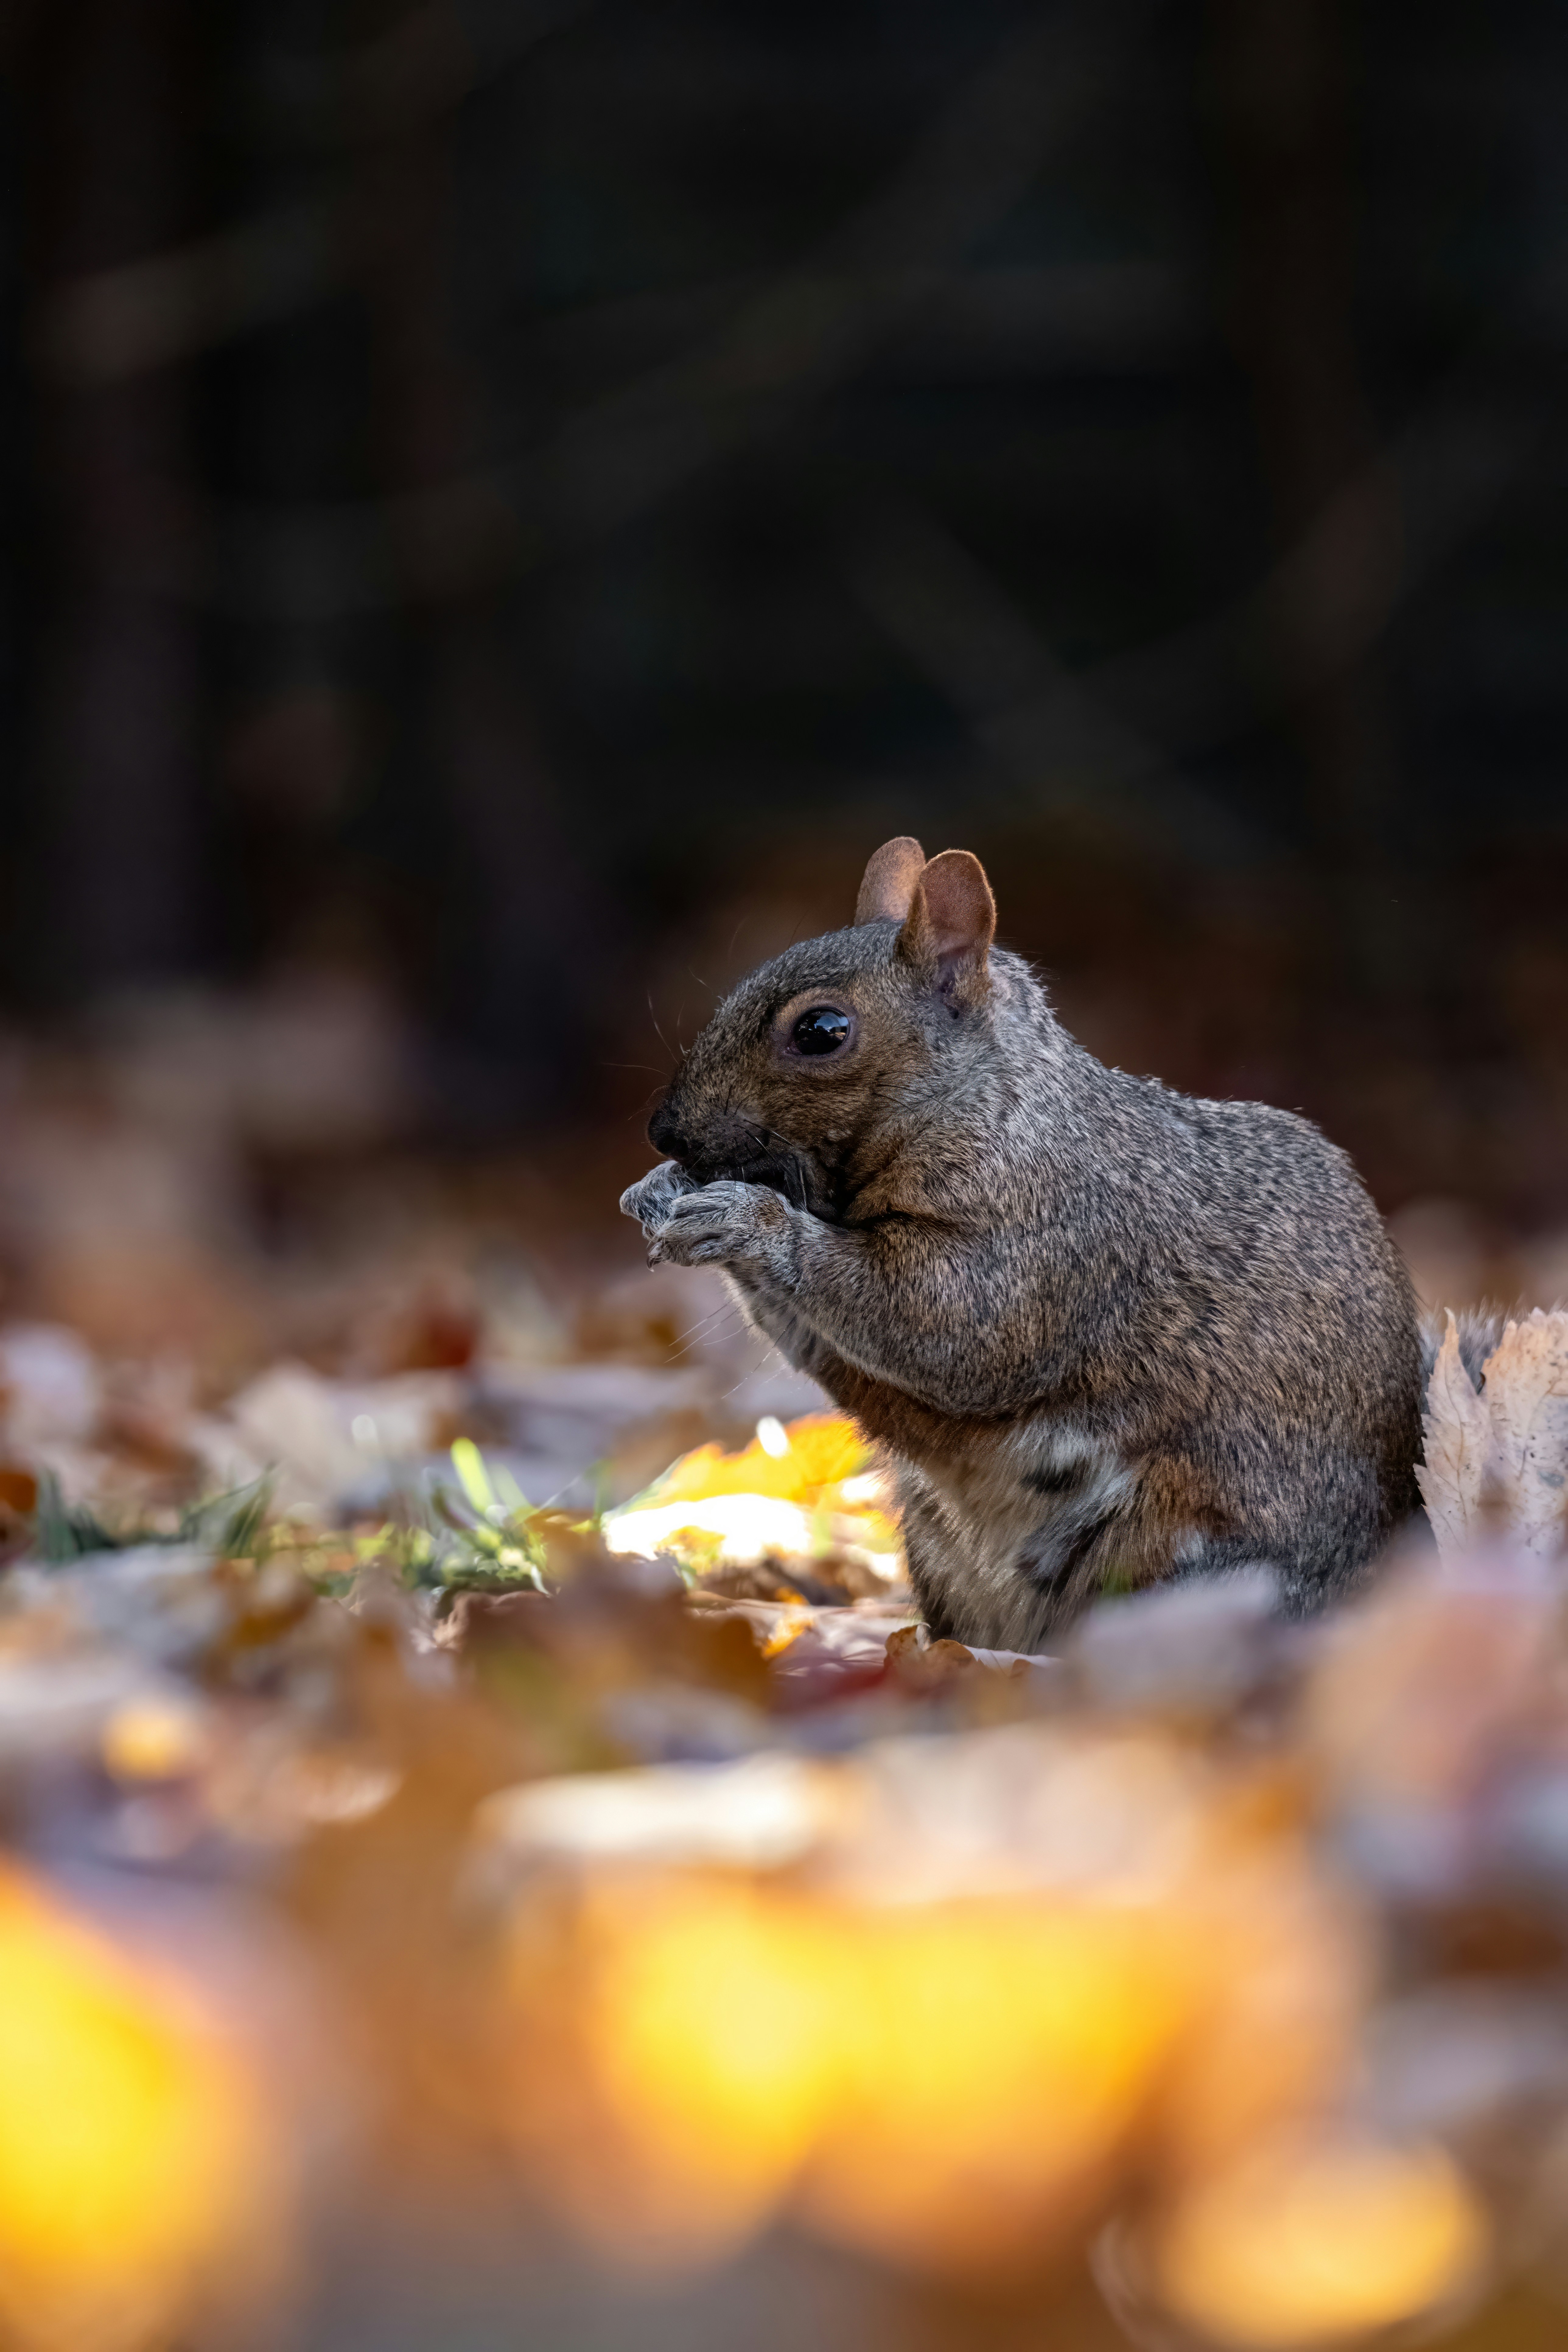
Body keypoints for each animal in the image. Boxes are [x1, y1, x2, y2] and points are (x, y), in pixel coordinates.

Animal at [620, 836, 1424, 1653]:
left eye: (821, 1031)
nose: (665, 1132)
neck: (995, 1108)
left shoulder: (1040, 1247)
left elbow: (944, 1328)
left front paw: (747, 1220)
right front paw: (658, 1190)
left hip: (1191, 1564)